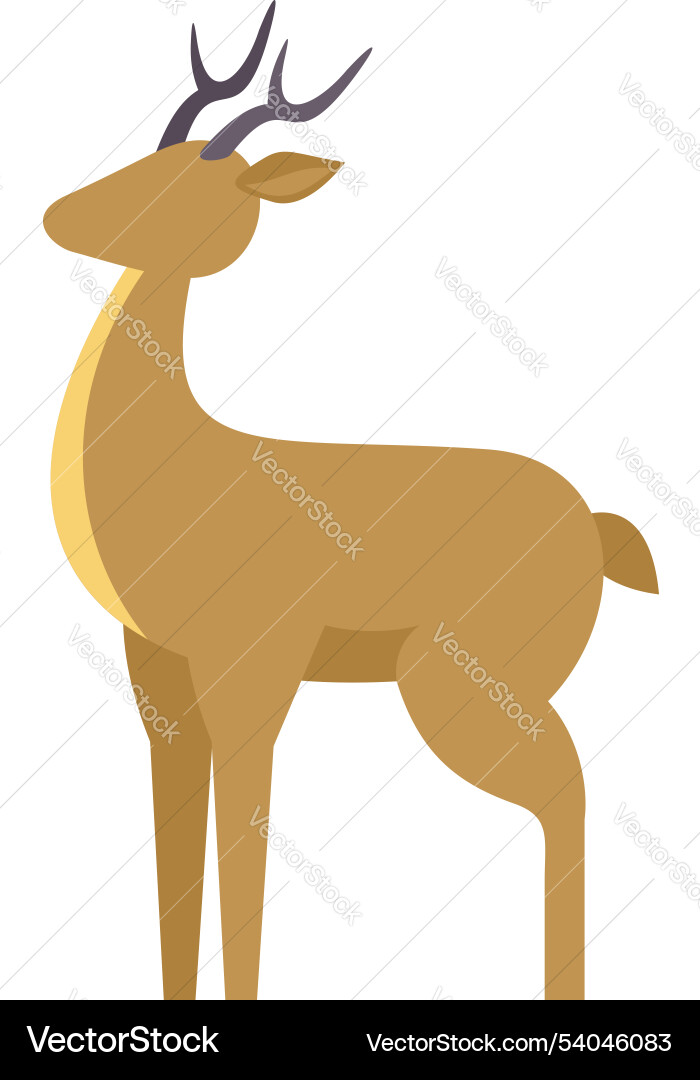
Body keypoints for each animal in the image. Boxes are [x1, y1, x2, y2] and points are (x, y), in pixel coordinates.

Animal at [44, 2, 658, 1001]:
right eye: (149, 154)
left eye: (197, 178)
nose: (57, 215)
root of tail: (596, 524)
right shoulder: (156, 678)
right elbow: (176, 872)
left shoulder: (252, 674)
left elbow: (243, 857)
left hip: (456, 685)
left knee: (567, 786)